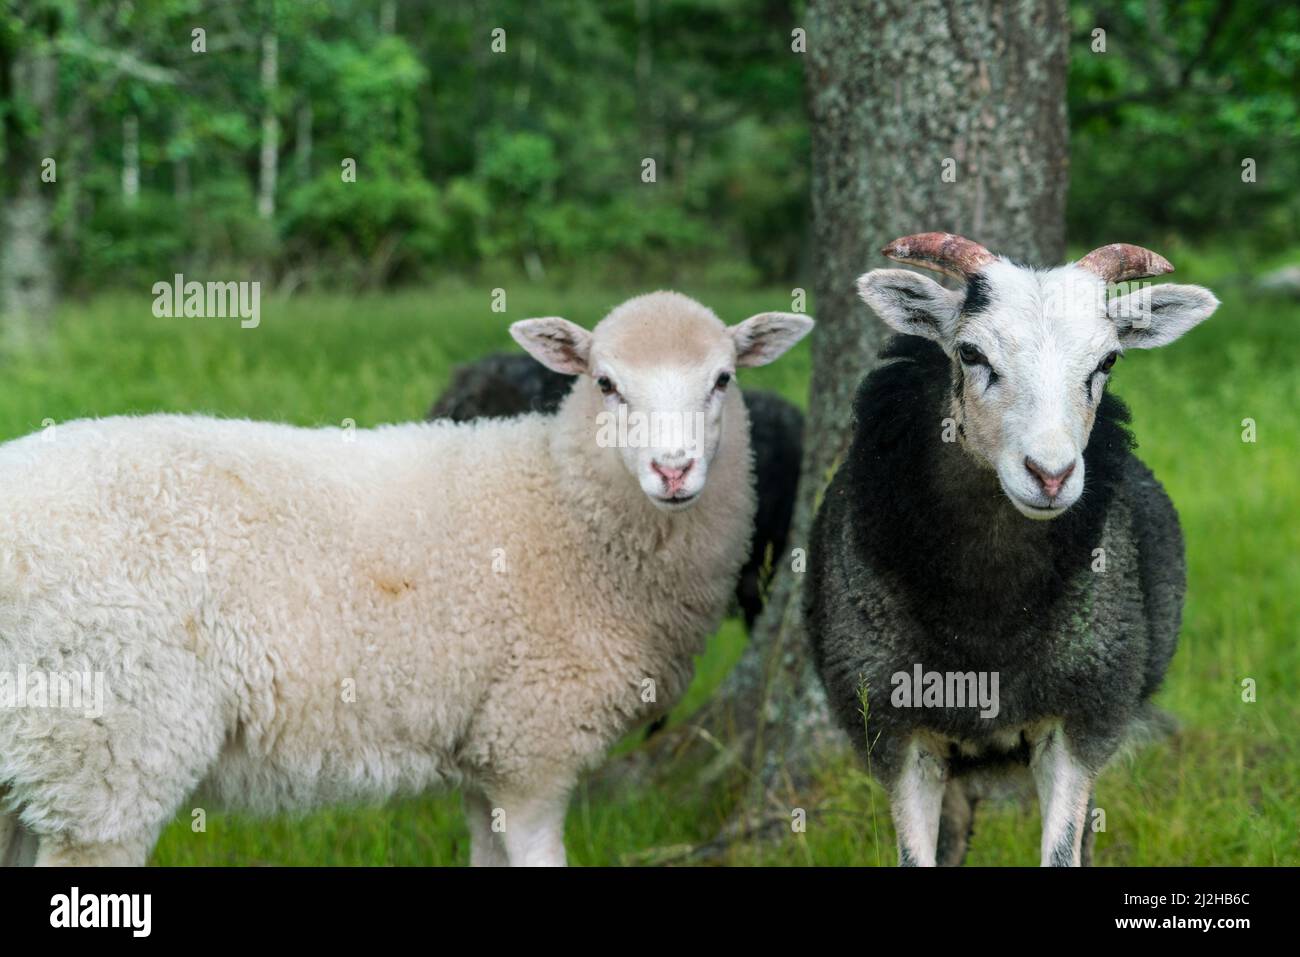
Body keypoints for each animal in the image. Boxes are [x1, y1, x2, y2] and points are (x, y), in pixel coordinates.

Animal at [806, 234, 1219, 867]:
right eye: (971, 353)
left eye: (1108, 361)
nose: (1050, 475)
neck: (986, 621)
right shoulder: (896, 730)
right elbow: (916, 855)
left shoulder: (1082, 718)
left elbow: (1062, 851)